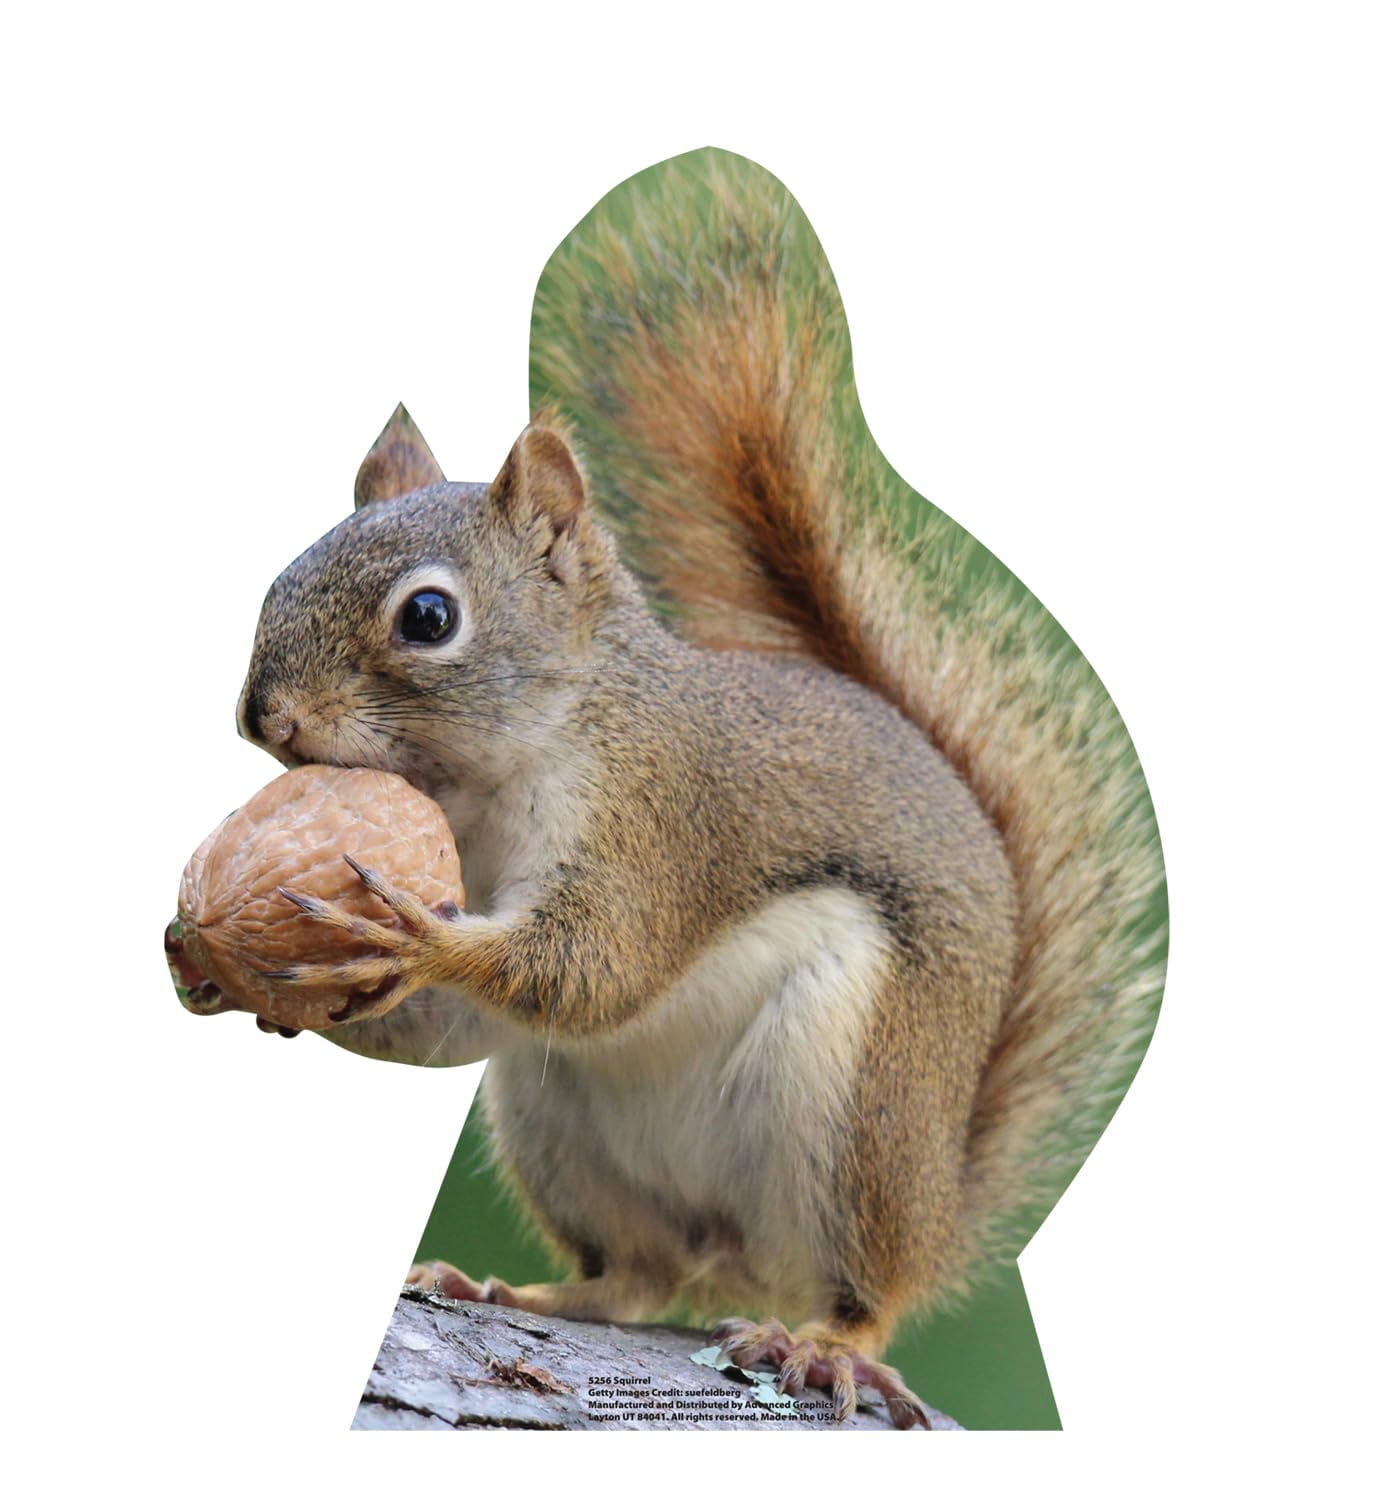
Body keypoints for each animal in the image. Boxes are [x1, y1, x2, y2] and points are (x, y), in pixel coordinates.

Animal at [235, 151, 1165, 1429]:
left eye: (427, 617)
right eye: (282, 574)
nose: (261, 719)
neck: (492, 780)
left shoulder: (660, 821)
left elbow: (595, 967)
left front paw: (414, 937)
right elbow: (456, 1026)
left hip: (857, 1105)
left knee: (859, 1289)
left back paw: (825, 1343)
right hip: (552, 1120)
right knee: (639, 1277)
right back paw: (514, 1290)